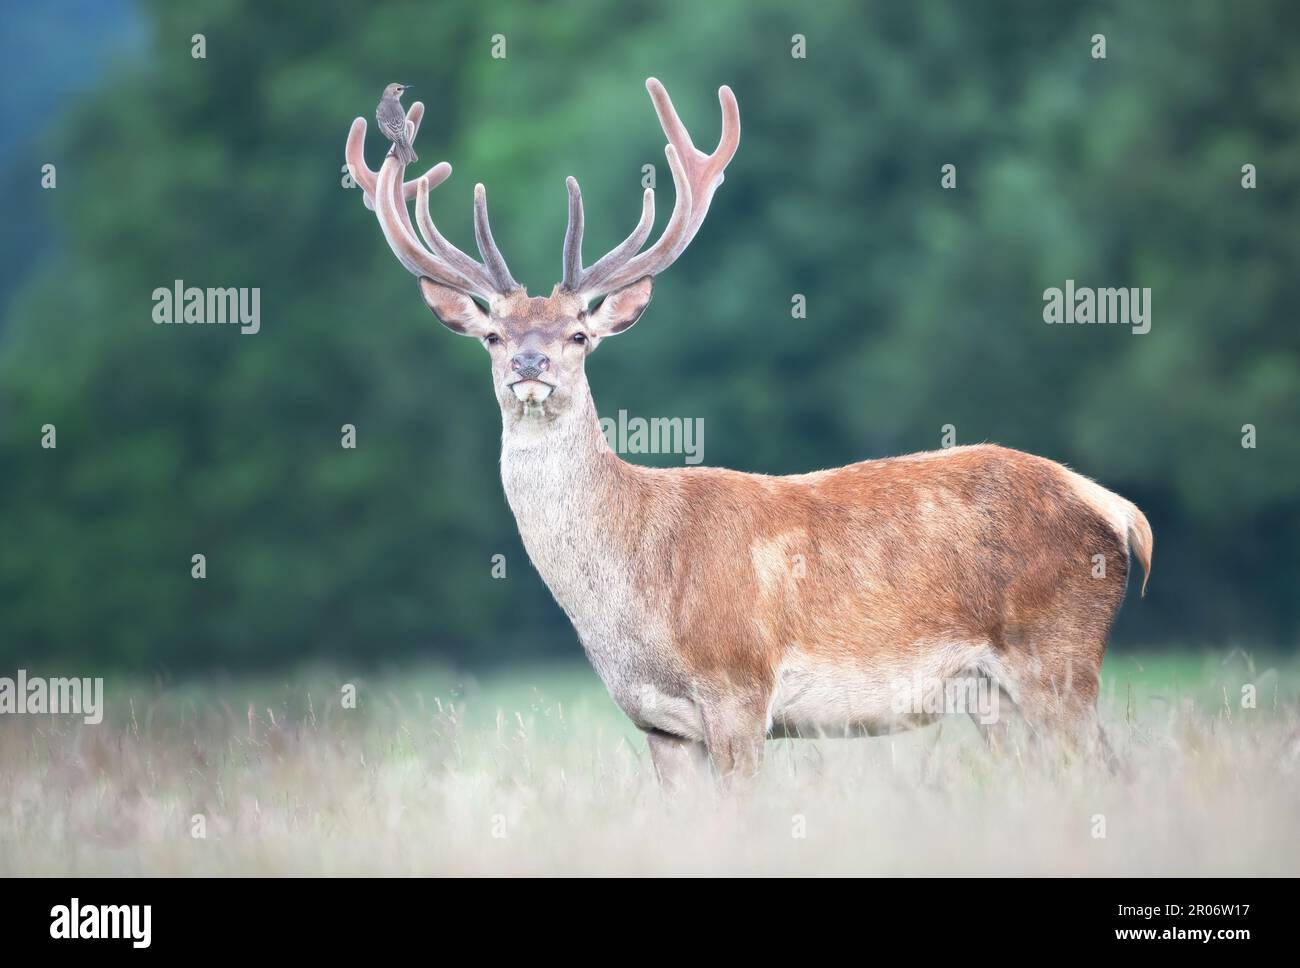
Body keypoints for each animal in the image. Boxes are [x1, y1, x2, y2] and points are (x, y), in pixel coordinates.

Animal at [344, 78, 1152, 785]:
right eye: (493, 335)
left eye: (579, 334)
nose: (529, 365)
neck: (635, 586)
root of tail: (1120, 513)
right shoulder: (661, 725)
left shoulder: (738, 686)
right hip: (995, 699)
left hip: (1058, 652)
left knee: (1107, 770)